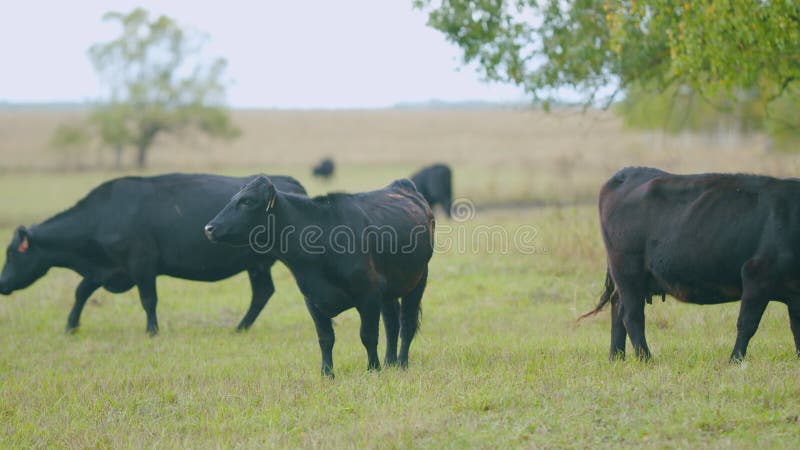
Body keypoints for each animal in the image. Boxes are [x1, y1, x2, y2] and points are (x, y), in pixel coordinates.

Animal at [0, 173, 306, 335]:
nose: (2, 284)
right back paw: (240, 328)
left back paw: (240, 327)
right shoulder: (107, 269)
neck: (104, 216)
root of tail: (286, 181)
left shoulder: (142, 264)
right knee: (263, 293)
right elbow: (81, 292)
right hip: (257, 264)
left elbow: (148, 299)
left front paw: (152, 332)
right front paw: (70, 327)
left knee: (263, 293)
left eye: (13, 254)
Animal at [205, 176, 434, 377]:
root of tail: (403, 185)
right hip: (391, 289)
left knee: (406, 324)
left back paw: (401, 363)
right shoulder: (312, 300)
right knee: (392, 324)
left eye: (247, 201)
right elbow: (326, 338)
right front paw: (327, 373)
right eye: (232, 199)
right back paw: (390, 362)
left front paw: (373, 369)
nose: (209, 228)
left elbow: (368, 335)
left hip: (418, 280)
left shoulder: (369, 294)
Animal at [581, 166, 800, 362]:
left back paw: (616, 357)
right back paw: (645, 359)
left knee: (617, 307)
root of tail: (625, 174)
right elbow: (747, 324)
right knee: (631, 315)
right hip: (628, 272)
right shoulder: (757, 275)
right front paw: (735, 360)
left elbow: (796, 327)